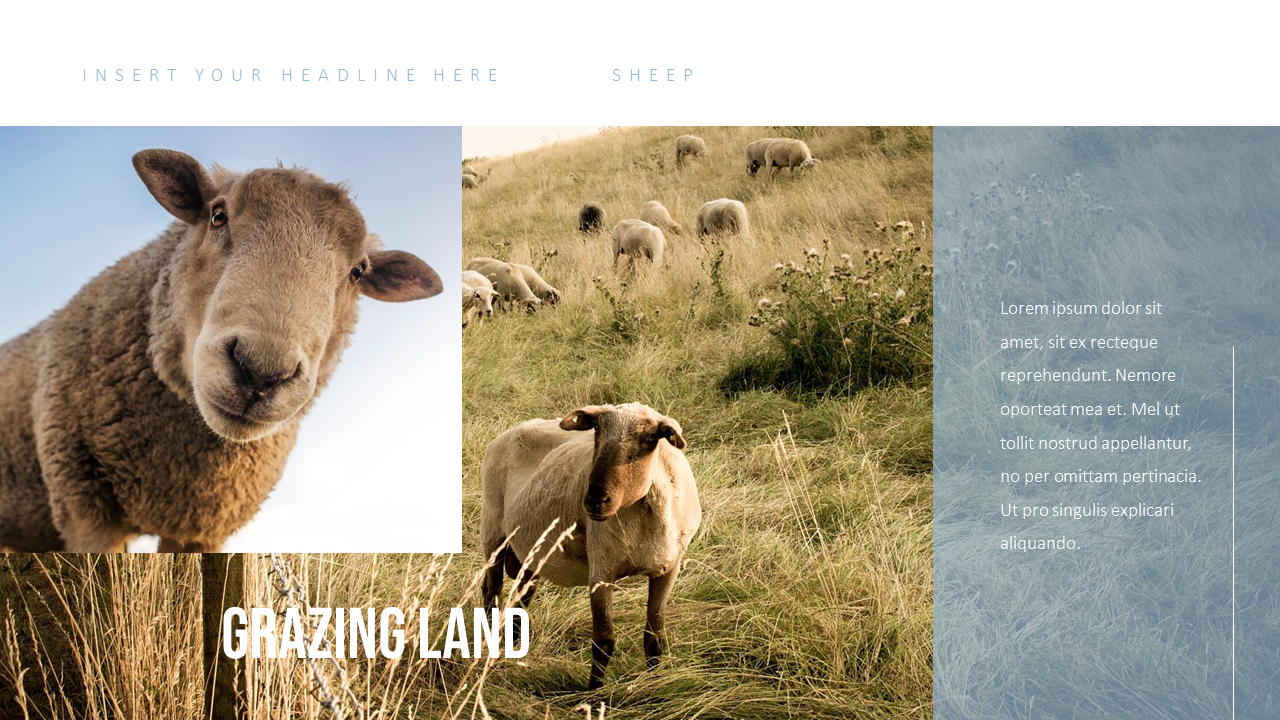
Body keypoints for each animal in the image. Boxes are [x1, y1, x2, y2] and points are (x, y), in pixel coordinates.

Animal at [480, 403, 701, 689]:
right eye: (597, 429)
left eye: (651, 437)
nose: (595, 499)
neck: (645, 513)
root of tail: (510, 430)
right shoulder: (601, 570)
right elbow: (603, 641)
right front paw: (594, 692)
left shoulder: (668, 568)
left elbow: (654, 638)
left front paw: (654, 683)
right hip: (493, 533)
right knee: (491, 594)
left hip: (530, 551)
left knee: (521, 602)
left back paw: (517, 645)